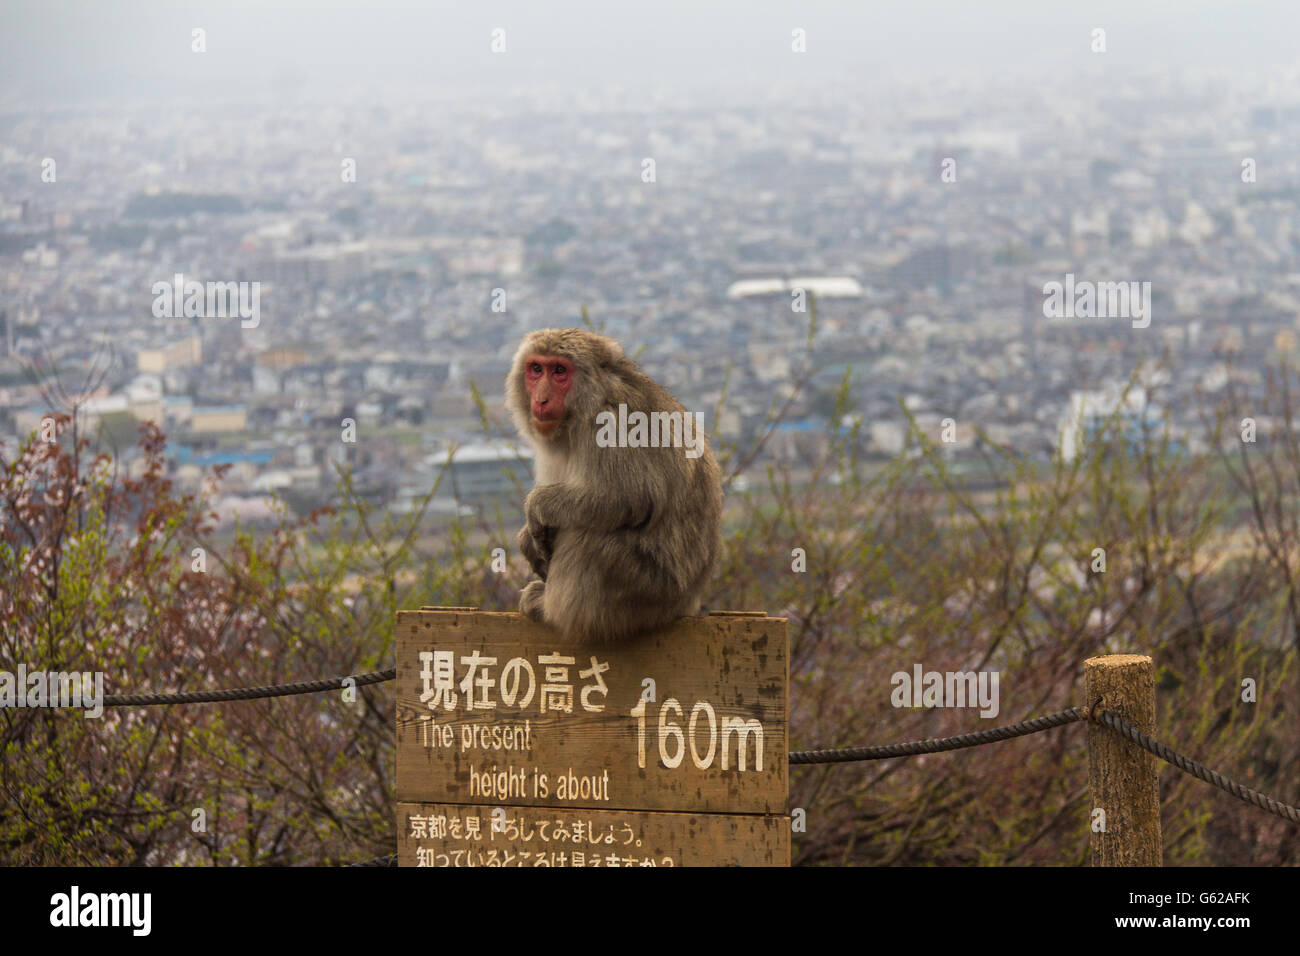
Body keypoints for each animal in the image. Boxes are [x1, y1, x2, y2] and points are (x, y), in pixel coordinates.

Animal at [506, 328, 723, 642]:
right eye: (536, 369)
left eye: (559, 371)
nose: (542, 400)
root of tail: (688, 602)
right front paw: (528, 538)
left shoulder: (609, 424)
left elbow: (629, 497)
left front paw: (536, 508)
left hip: (645, 590)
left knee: (588, 537)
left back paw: (550, 610)